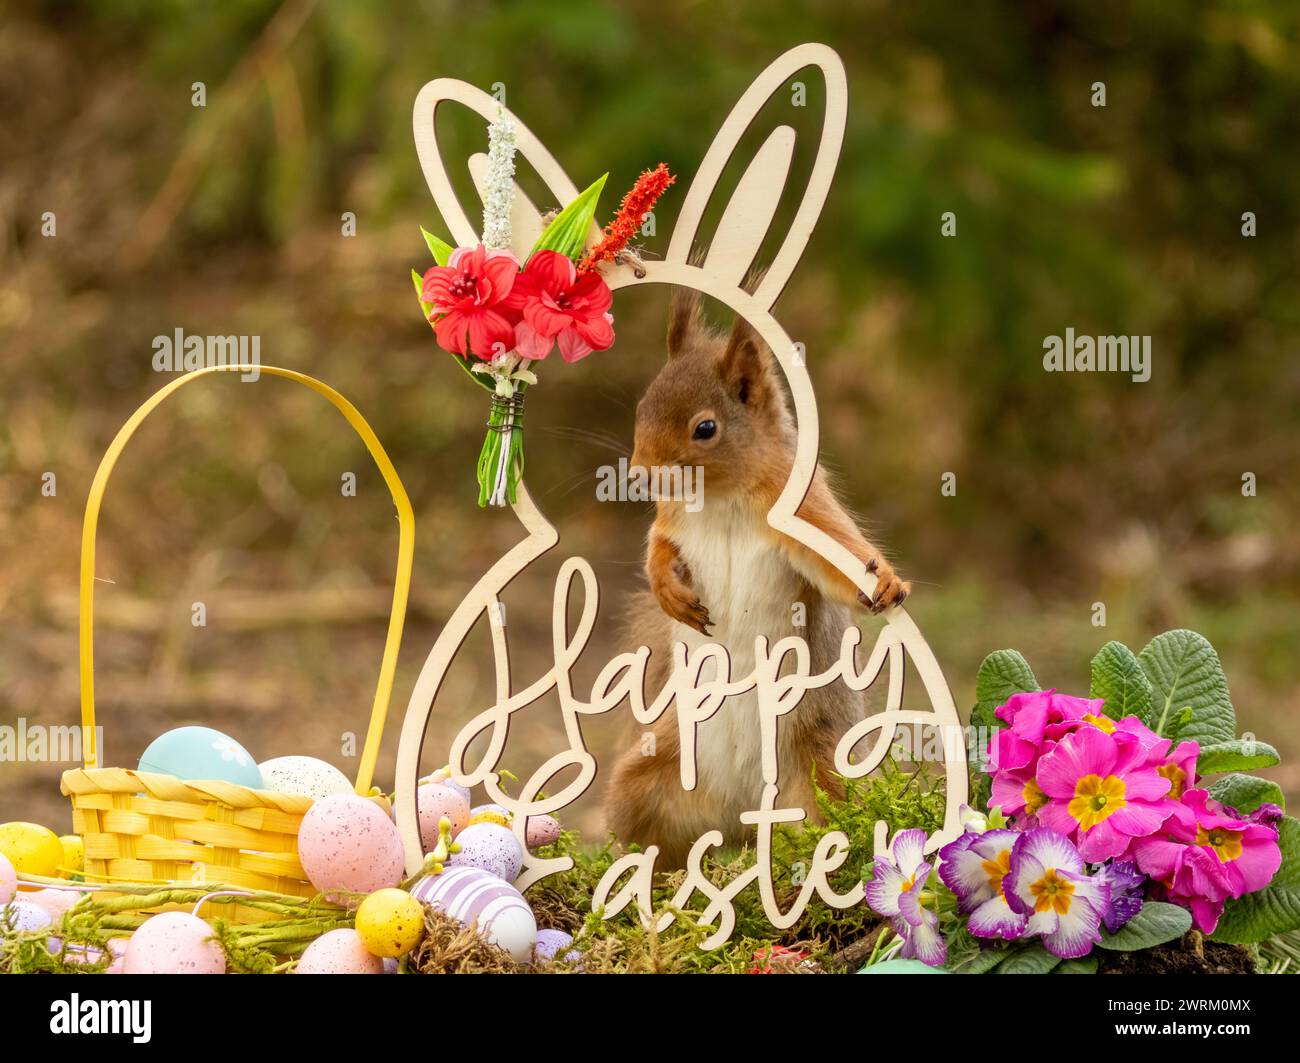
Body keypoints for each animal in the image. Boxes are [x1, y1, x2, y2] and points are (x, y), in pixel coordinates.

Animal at [605, 288, 910, 866]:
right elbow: (657, 549)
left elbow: (837, 564)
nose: (639, 475)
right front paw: (668, 591)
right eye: (641, 408)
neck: (719, 498)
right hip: (644, 778)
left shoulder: (801, 511)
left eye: (705, 428)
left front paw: (884, 581)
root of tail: (744, 815)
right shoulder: (671, 522)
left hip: (824, 771)